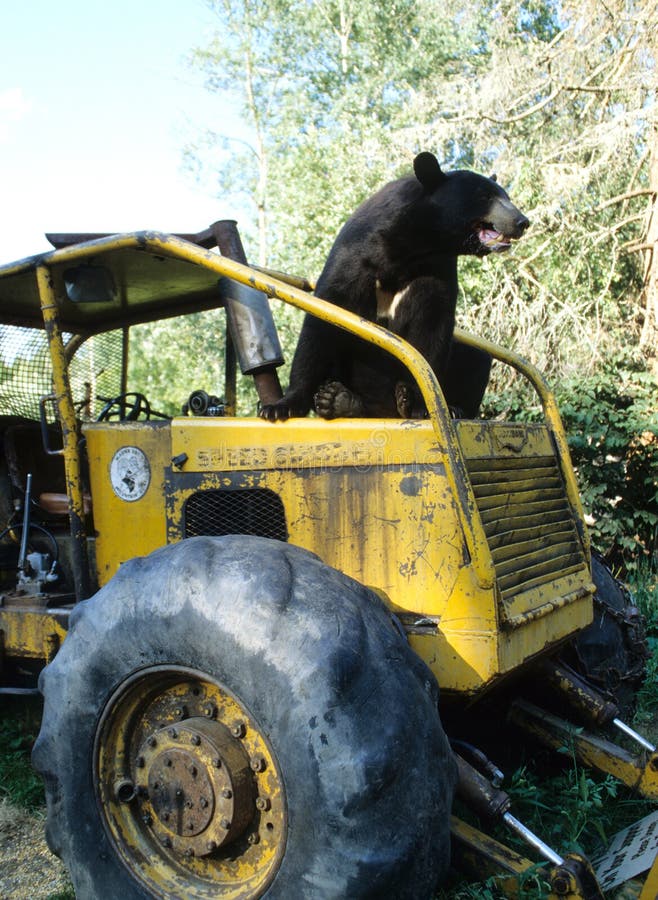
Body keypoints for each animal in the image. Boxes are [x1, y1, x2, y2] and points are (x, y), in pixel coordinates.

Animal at [260, 151, 529, 422]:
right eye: (485, 196)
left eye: (506, 196)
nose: (522, 221)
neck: (411, 246)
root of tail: (381, 411)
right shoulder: (353, 256)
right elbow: (322, 320)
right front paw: (281, 406)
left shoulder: (435, 269)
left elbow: (432, 326)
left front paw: (421, 404)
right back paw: (338, 400)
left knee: (477, 358)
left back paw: (439, 406)